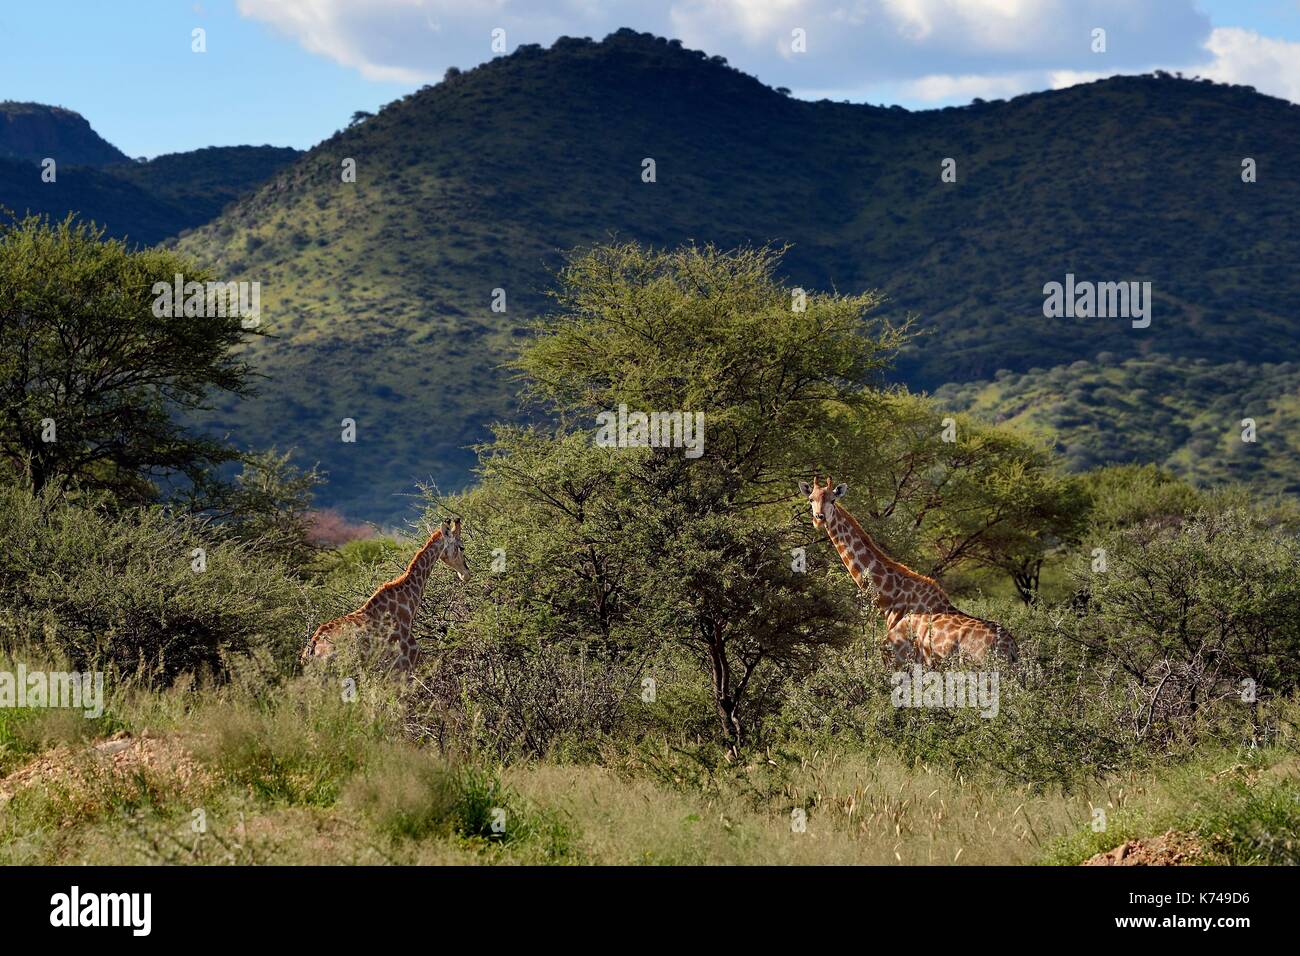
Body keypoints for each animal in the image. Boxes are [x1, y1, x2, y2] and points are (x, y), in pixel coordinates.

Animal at [799, 477, 1017, 666]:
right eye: (811, 499)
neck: (890, 599)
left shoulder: (898, 659)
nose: (819, 519)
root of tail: (1012, 650)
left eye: (833, 499)